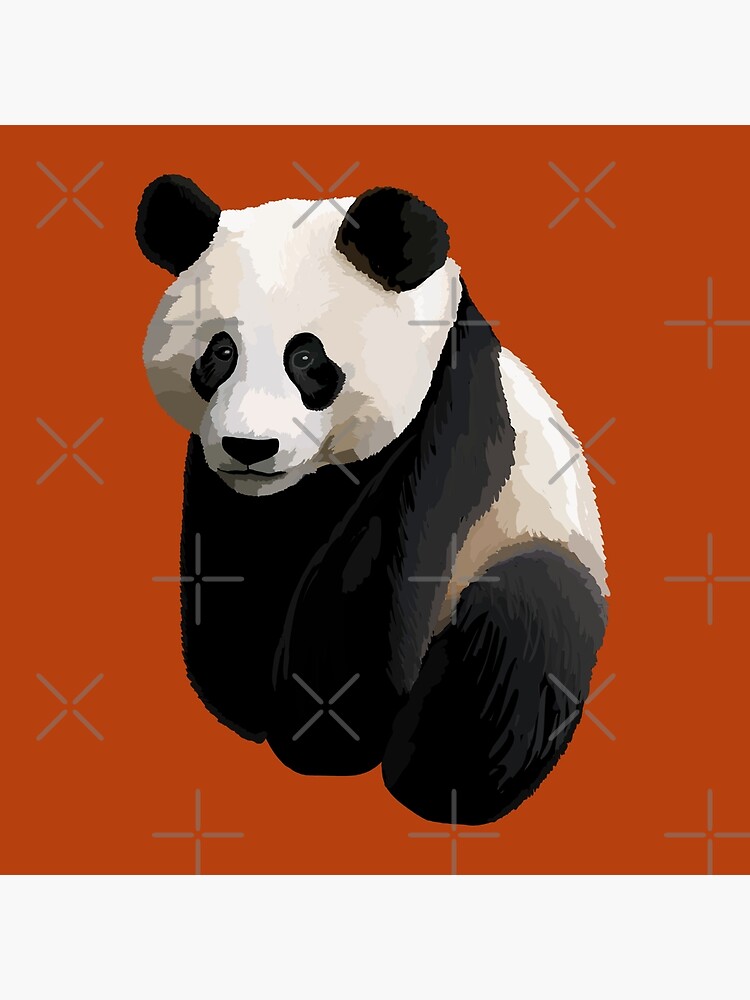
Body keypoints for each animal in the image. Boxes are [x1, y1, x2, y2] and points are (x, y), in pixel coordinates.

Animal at [137, 175, 608, 826]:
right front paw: (248, 702)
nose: (250, 447)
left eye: (305, 357)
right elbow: (235, 569)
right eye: (221, 352)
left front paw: (325, 731)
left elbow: (371, 578)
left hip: (533, 541)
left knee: (523, 623)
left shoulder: (447, 419)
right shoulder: (225, 489)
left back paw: (438, 782)